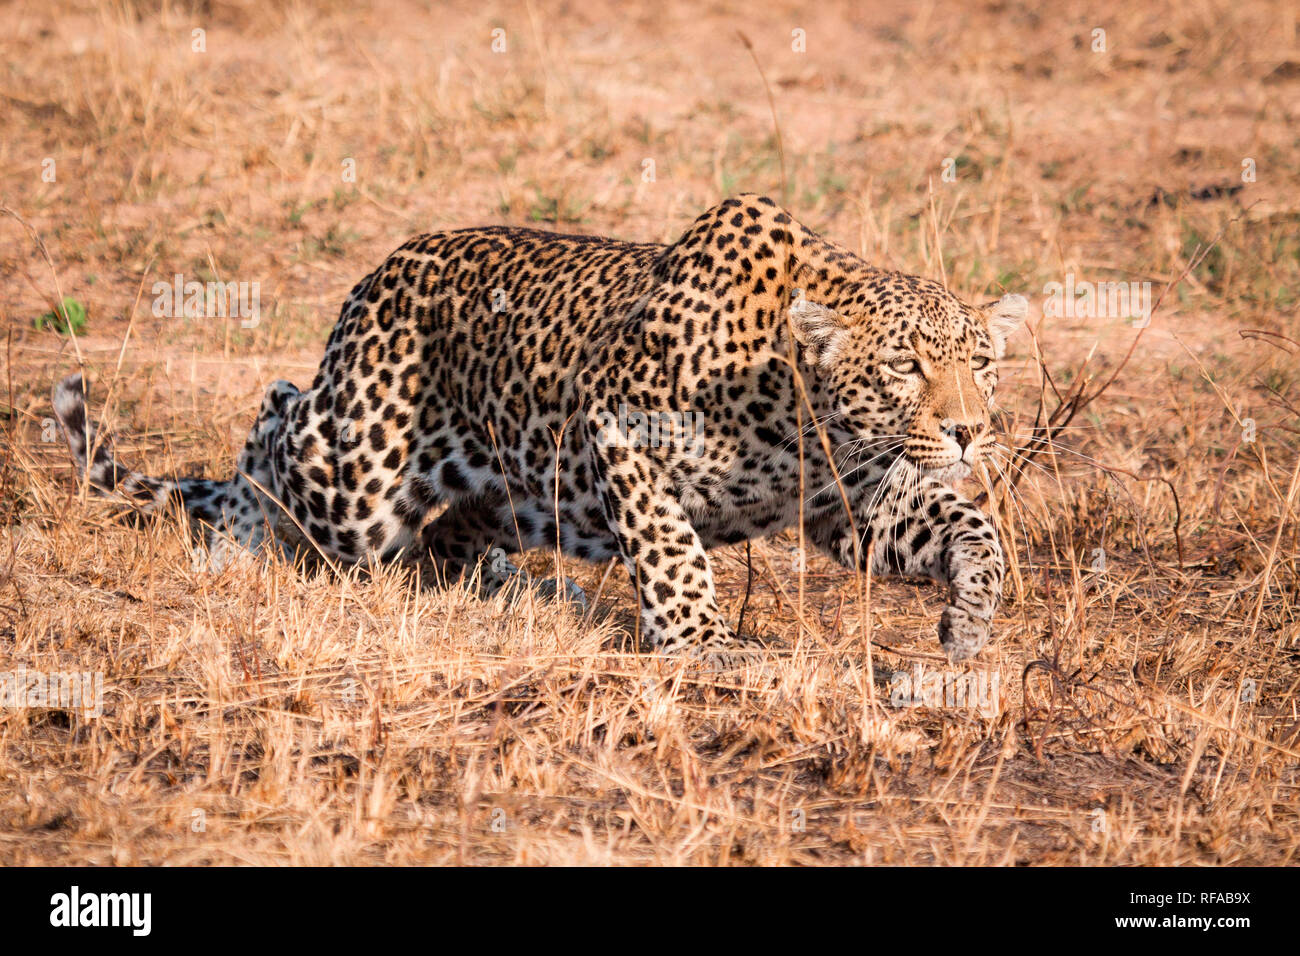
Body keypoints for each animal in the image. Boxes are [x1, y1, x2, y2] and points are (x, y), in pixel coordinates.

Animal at [53, 193, 1026, 664]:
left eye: (982, 362)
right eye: (905, 366)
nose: (970, 430)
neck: (800, 404)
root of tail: (374, 278)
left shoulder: (848, 505)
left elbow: (968, 524)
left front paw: (970, 619)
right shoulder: (618, 423)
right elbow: (672, 547)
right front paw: (702, 644)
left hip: (529, 501)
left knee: (445, 539)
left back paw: (518, 588)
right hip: (359, 475)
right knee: (276, 415)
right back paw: (237, 539)